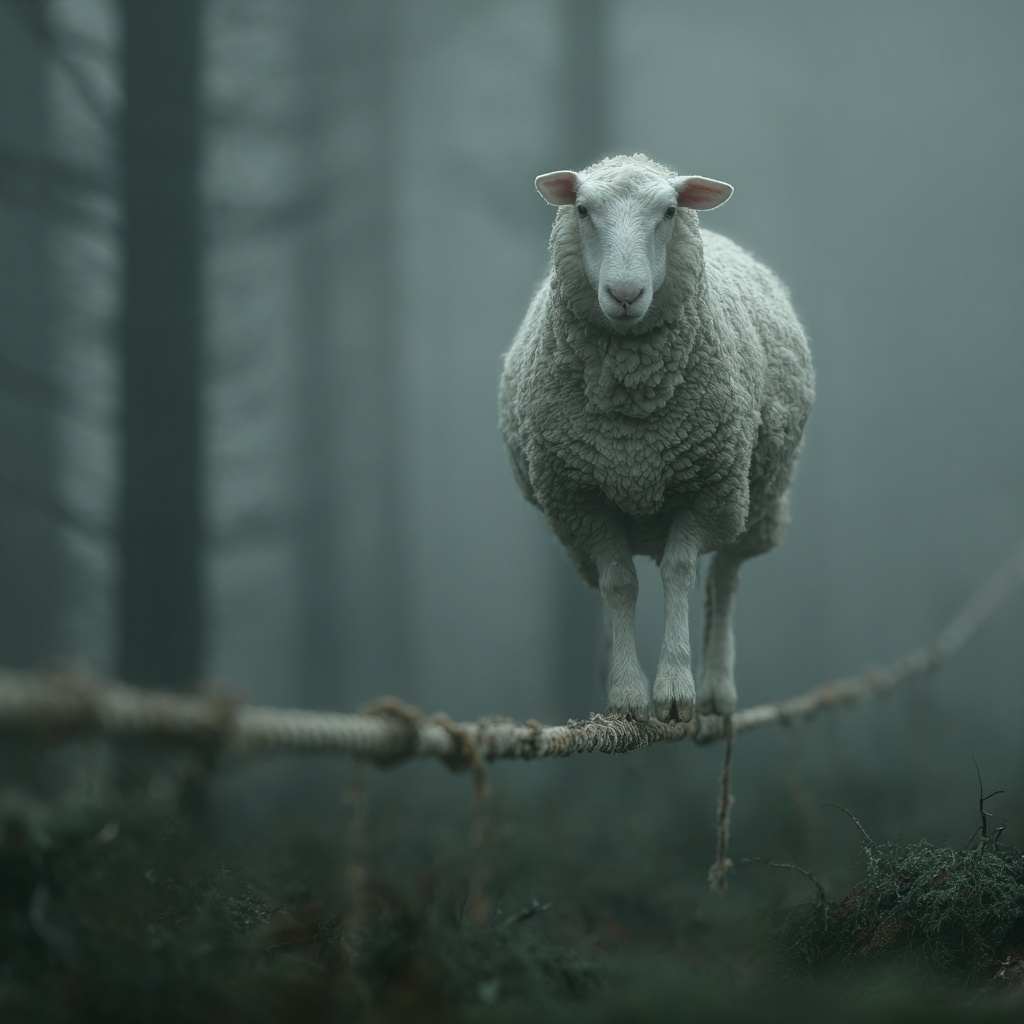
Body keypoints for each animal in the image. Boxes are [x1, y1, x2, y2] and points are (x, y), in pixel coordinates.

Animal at [499, 153, 813, 722]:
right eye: (582, 209)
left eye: (669, 211)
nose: (625, 296)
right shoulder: (583, 500)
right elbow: (620, 584)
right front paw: (627, 695)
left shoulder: (707, 489)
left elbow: (680, 572)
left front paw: (675, 690)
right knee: (614, 584)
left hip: (754, 500)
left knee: (724, 577)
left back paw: (716, 689)